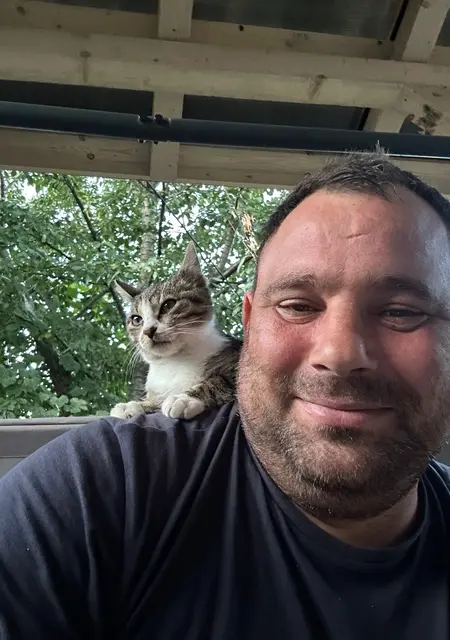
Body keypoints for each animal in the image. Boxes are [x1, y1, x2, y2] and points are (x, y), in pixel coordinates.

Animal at [110, 242, 242, 421]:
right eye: (137, 319)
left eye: (168, 305)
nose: (148, 330)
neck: (174, 361)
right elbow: (153, 401)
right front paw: (134, 405)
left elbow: (219, 380)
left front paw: (184, 398)